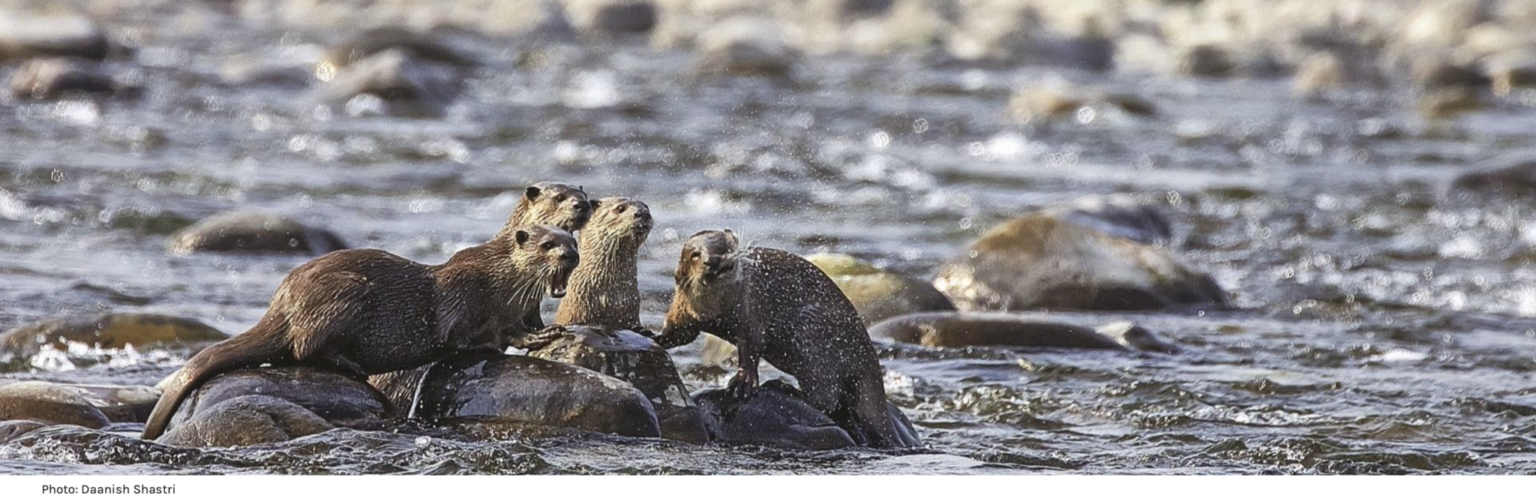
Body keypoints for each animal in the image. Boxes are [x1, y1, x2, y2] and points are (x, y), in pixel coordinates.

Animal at [140, 225, 579, 441]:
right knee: (304, 348)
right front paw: (533, 340)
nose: (571, 255)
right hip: (346, 294)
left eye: (572, 240)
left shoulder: (519, 310)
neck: (499, 282)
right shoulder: (464, 299)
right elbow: (474, 338)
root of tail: (283, 300)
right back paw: (351, 367)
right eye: (547, 244)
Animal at [653, 230, 921, 448]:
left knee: (827, 399)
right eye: (696, 254)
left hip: (814, 340)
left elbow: (750, 347)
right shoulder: (683, 310)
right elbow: (678, 333)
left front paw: (743, 382)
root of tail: (867, 358)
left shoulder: (751, 313)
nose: (716, 260)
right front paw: (652, 336)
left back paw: (782, 385)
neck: (714, 311)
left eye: (727, 246)